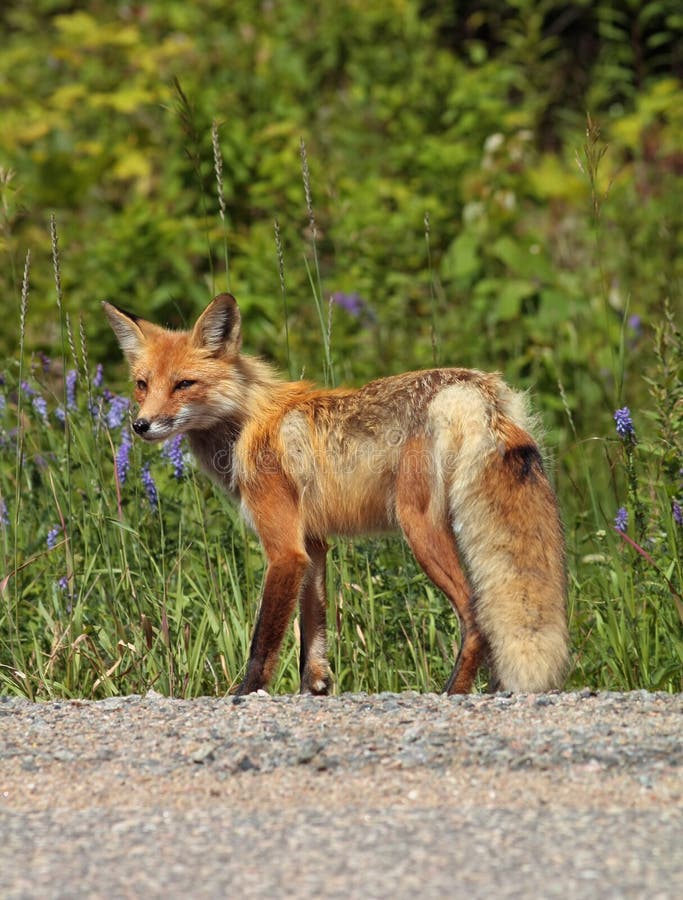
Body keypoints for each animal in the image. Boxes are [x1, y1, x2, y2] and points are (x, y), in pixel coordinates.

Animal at [104, 293, 569, 696]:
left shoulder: (286, 551)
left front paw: (245, 694)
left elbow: (263, 642)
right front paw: (314, 690)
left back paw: (452, 692)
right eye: (142, 384)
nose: (140, 425)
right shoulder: (313, 544)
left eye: (184, 384)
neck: (246, 421)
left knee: (475, 616)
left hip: (418, 526)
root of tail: (473, 388)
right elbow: (313, 635)